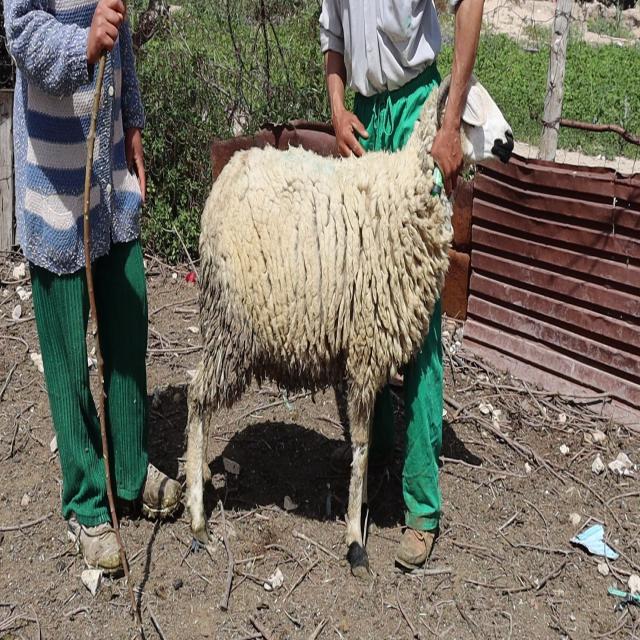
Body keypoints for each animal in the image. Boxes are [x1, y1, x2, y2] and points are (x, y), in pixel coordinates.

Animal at [185, 75, 513, 577]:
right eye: (469, 114)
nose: (510, 143)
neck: (409, 189)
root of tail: (230, 171)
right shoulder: (366, 346)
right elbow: (360, 443)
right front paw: (355, 540)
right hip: (232, 327)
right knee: (196, 396)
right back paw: (198, 514)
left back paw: (199, 471)